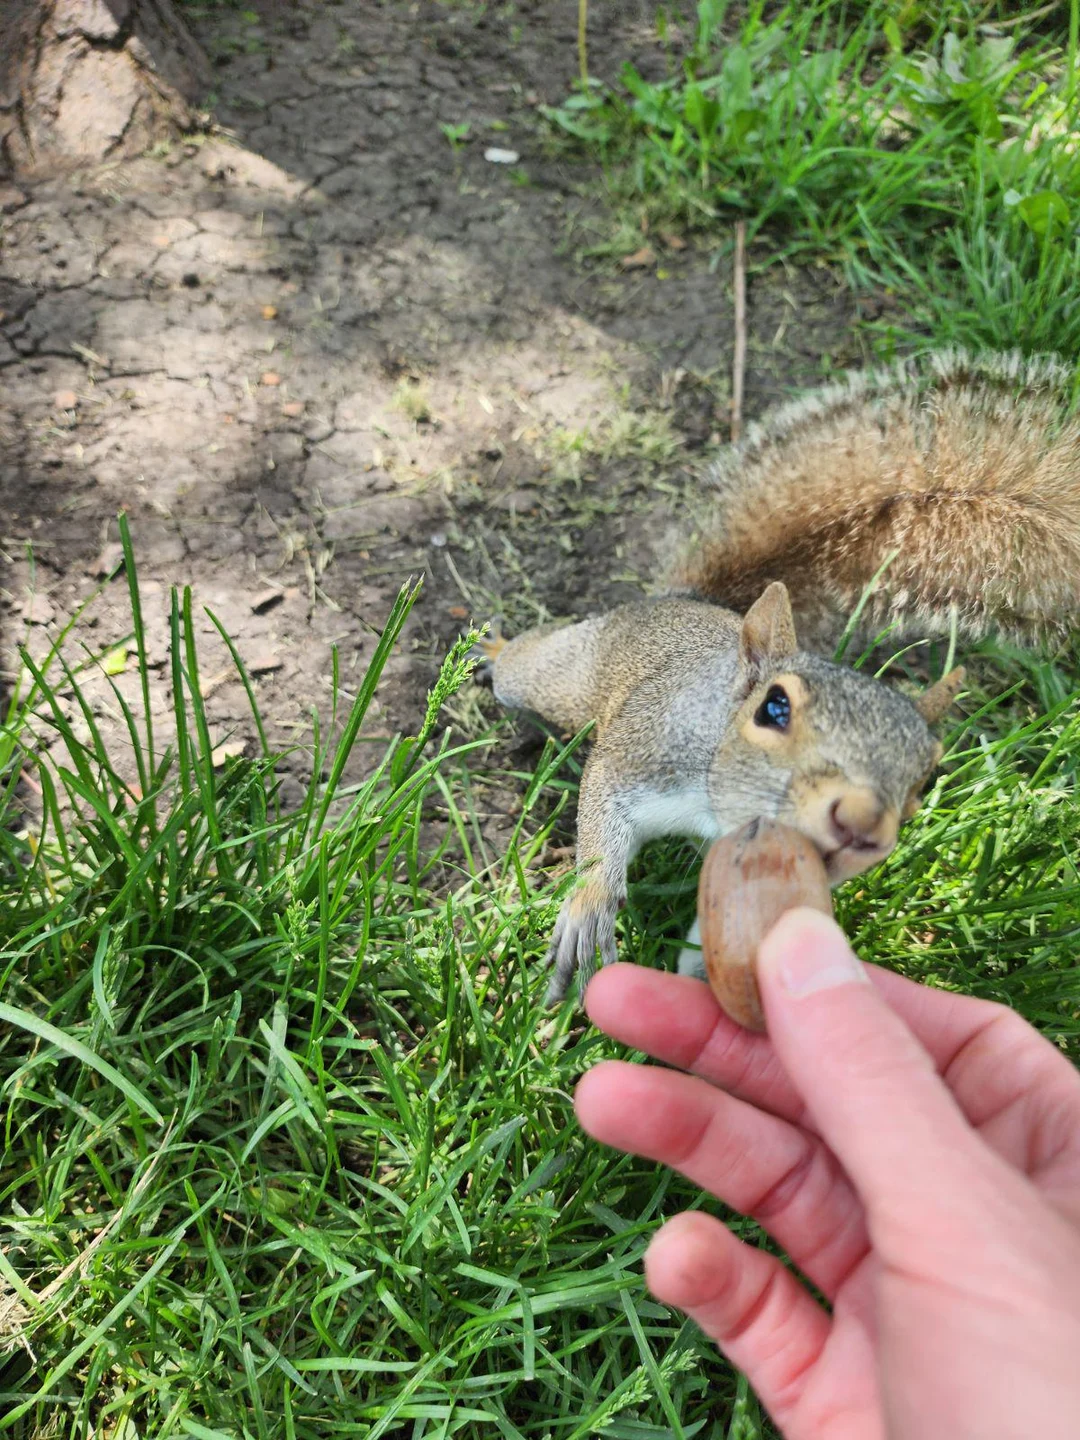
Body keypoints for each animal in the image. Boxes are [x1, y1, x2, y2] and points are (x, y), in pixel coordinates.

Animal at [476, 349, 1080, 1005]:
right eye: (773, 709)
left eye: (926, 776)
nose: (861, 823)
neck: (719, 802)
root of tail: (685, 599)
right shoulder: (647, 751)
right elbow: (602, 806)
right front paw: (589, 906)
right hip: (569, 673)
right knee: (527, 671)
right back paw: (494, 649)